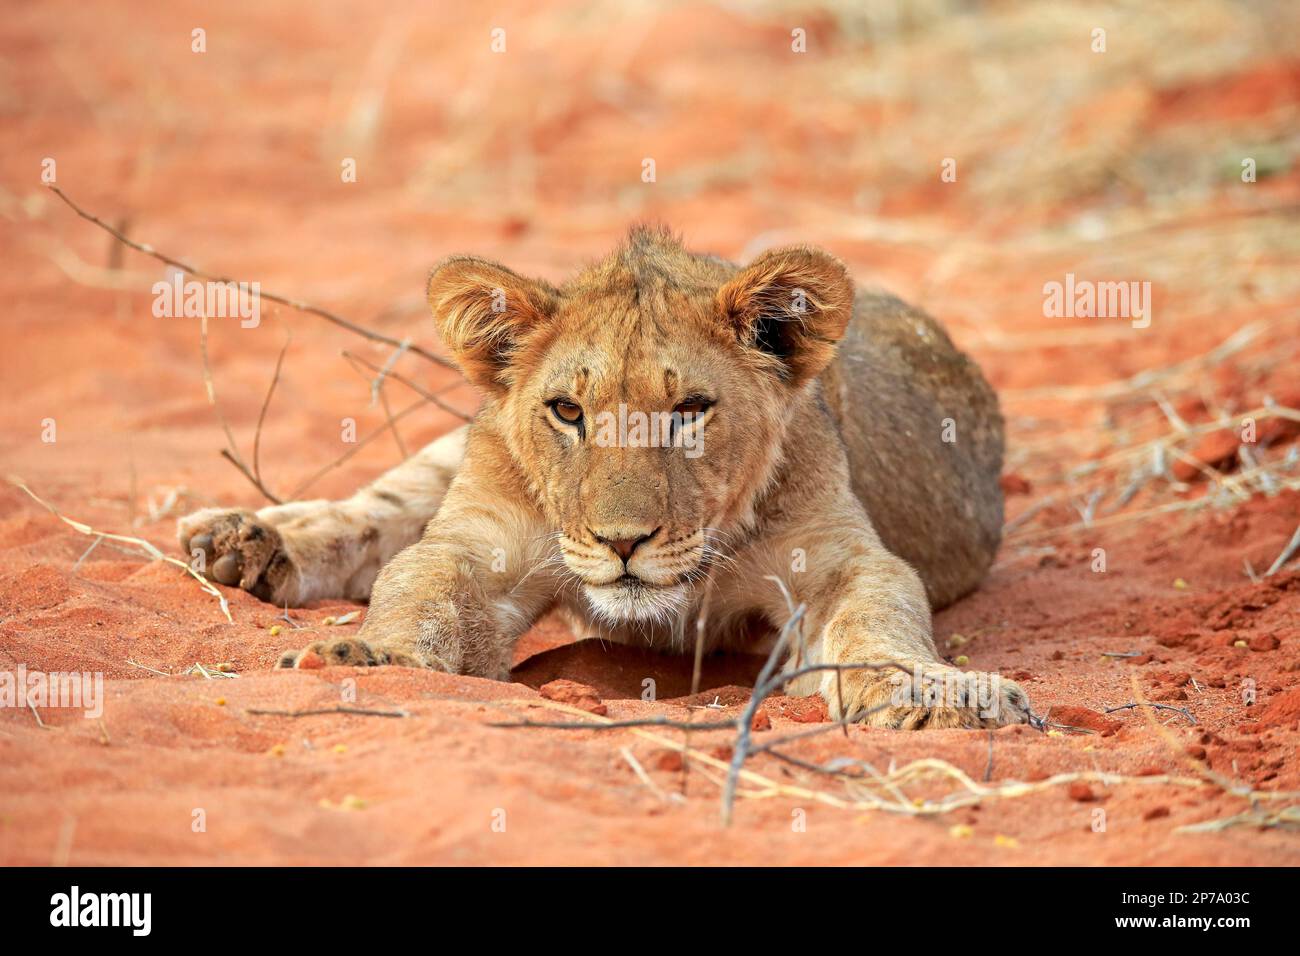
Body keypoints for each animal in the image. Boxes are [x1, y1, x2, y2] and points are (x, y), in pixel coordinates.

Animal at [178, 226, 1031, 729]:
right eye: (567, 410)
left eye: (690, 410)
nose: (624, 543)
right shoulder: (480, 545)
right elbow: (417, 589)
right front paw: (367, 661)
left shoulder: (838, 560)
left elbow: (879, 618)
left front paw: (939, 691)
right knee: (377, 514)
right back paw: (244, 541)